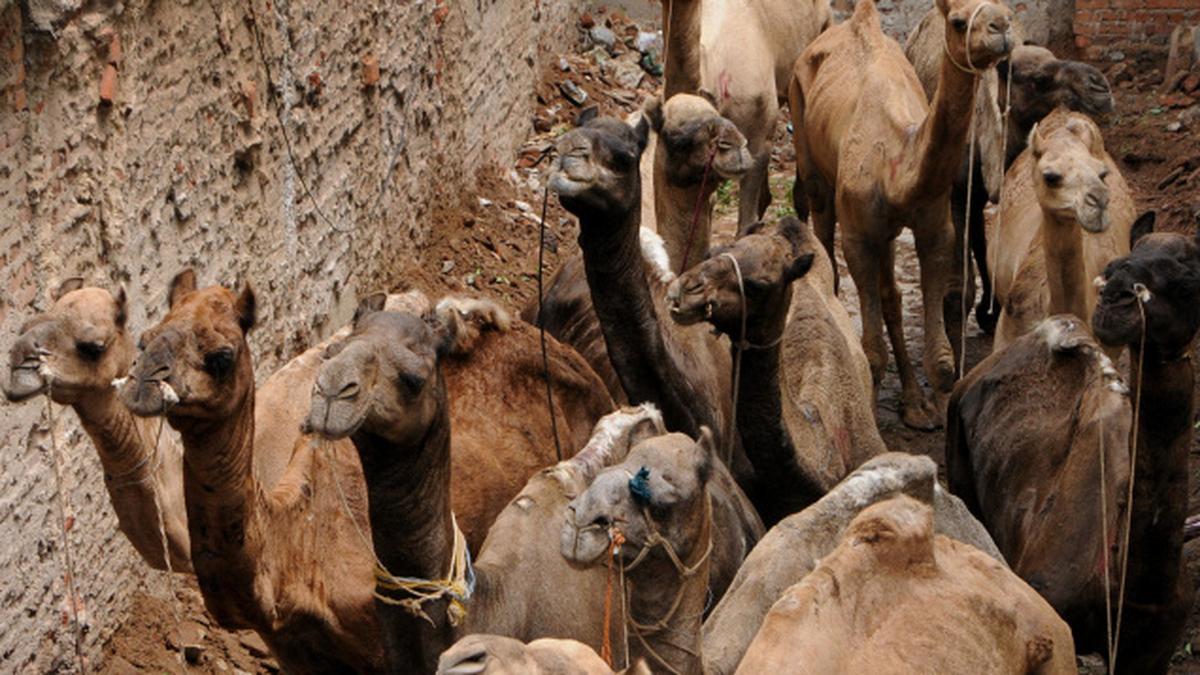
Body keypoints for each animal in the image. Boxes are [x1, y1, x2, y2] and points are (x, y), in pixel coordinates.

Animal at [788, 0, 1012, 428]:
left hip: (886, 232)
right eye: (958, 22)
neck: (896, 164)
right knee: (823, 233)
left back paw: (913, 402)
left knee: (890, 294)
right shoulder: (858, 236)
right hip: (805, 136)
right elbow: (872, 355)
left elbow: (940, 359)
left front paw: (933, 409)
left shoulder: (934, 228)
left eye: (1008, 12)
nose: (1001, 28)